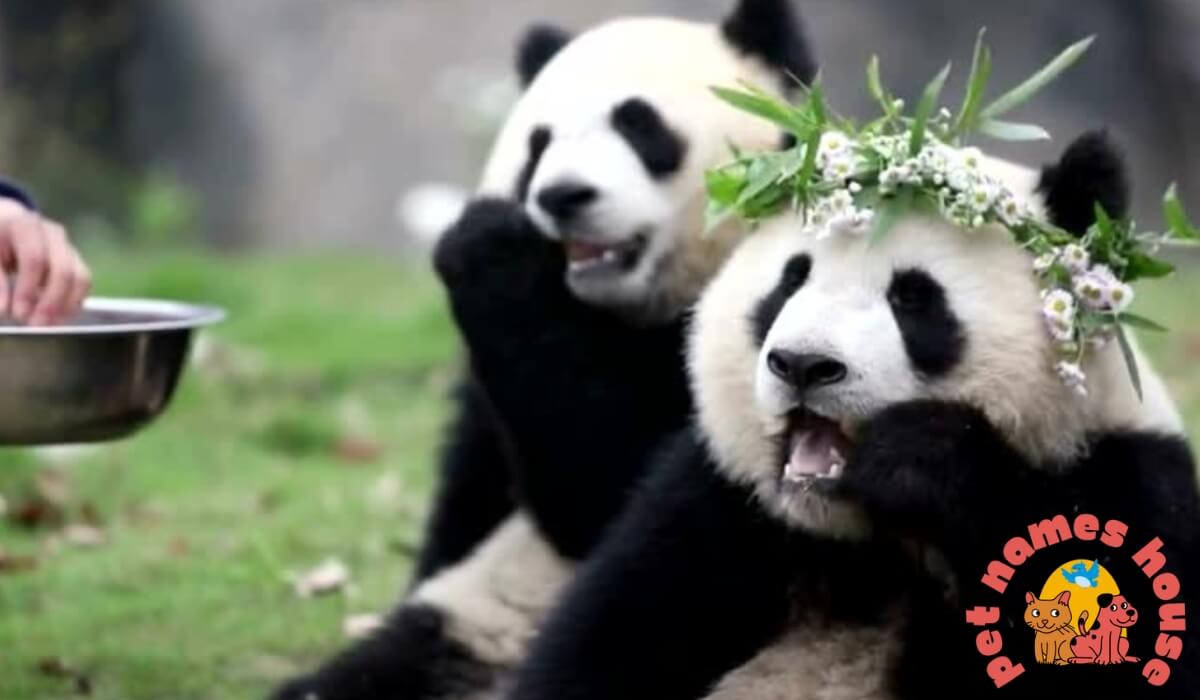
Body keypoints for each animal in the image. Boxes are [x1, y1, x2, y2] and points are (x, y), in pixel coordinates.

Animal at [273, 2, 814, 699]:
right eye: (539, 145)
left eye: (639, 126)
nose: (563, 197)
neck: (632, 309)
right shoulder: (492, 401)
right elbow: (478, 487)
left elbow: (604, 487)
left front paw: (492, 246)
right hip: (475, 618)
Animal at [501, 132, 1200, 700]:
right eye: (789, 281)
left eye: (914, 298)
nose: (804, 365)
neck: (863, 547)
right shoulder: (710, 517)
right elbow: (596, 652)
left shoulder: (1133, 486)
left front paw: (921, 459)